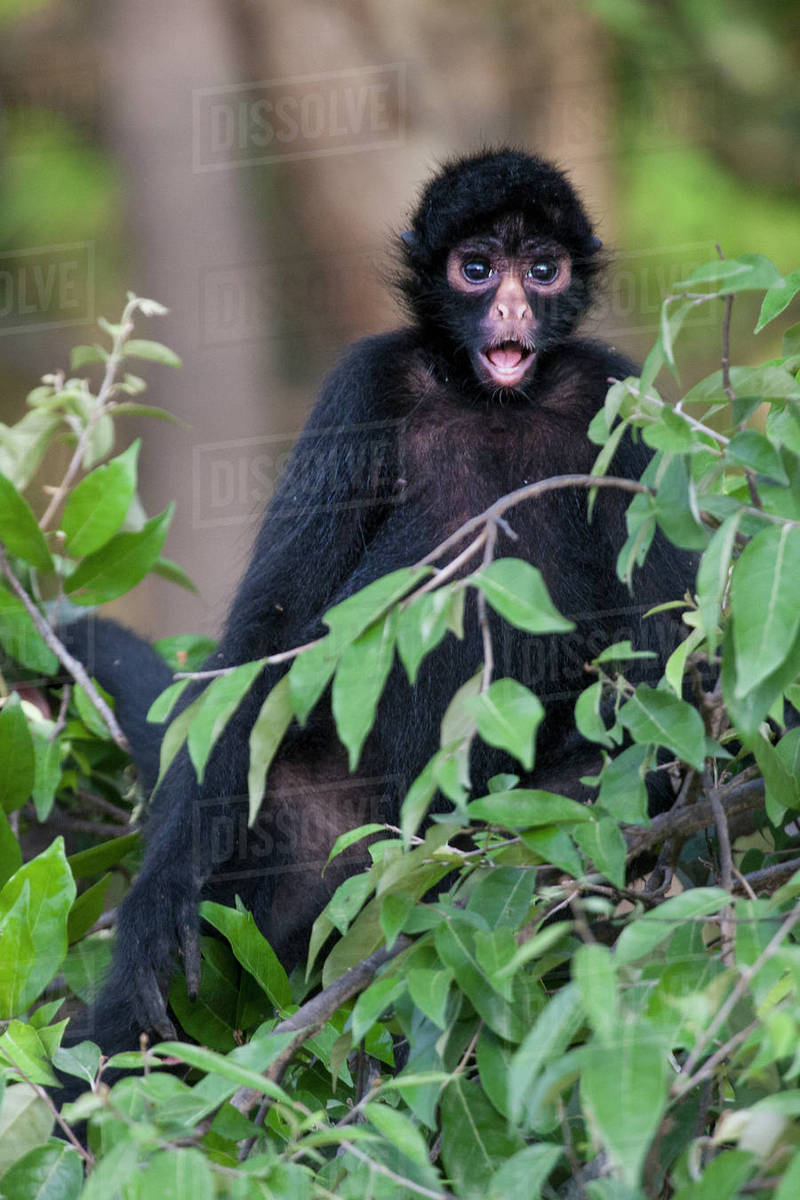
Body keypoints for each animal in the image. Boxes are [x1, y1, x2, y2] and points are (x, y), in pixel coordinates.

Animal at [59, 148, 695, 1059]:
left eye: (542, 271)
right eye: (476, 269)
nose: (511, 306)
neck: (492, 399)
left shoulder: (615, 394)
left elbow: (675, 650)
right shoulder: (367, 381)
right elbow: (271, 631)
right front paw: (156, 900)